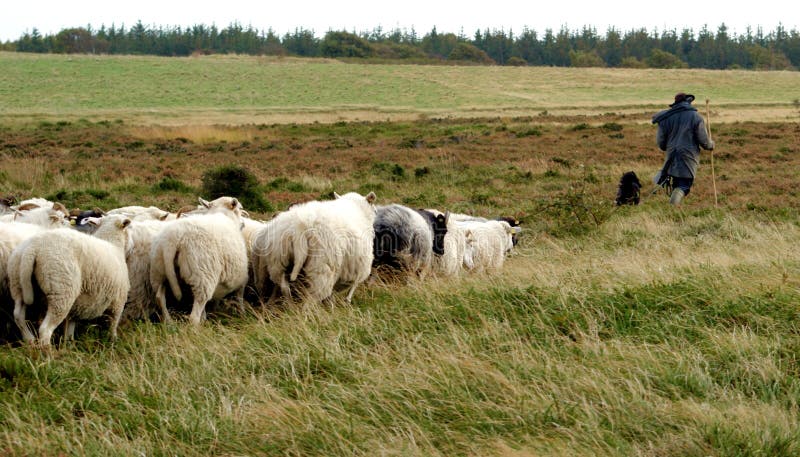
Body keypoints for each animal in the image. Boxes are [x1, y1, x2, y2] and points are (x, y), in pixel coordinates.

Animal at [8, 215, 132, 346]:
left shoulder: (77, 306)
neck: (114, 245)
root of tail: (33, 247)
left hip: (18, 283)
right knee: (45, 329)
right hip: (61, 289)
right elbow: (113, 323)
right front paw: (113, 341)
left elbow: (70, 327)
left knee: (18, 316)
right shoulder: (118, 301)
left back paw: (29, 340)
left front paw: (69, 344)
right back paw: (47, 350)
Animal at [149, 196, 248, 325]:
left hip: (158, 271)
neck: (224, 215)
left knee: (160, 297)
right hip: (203, 276)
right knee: (194, 313)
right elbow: (239, 296)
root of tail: (173, 239)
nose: (244, 223)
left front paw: (205, 317)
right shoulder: (242, 277)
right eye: (240, 208)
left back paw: (169, 322)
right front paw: (242, 313)